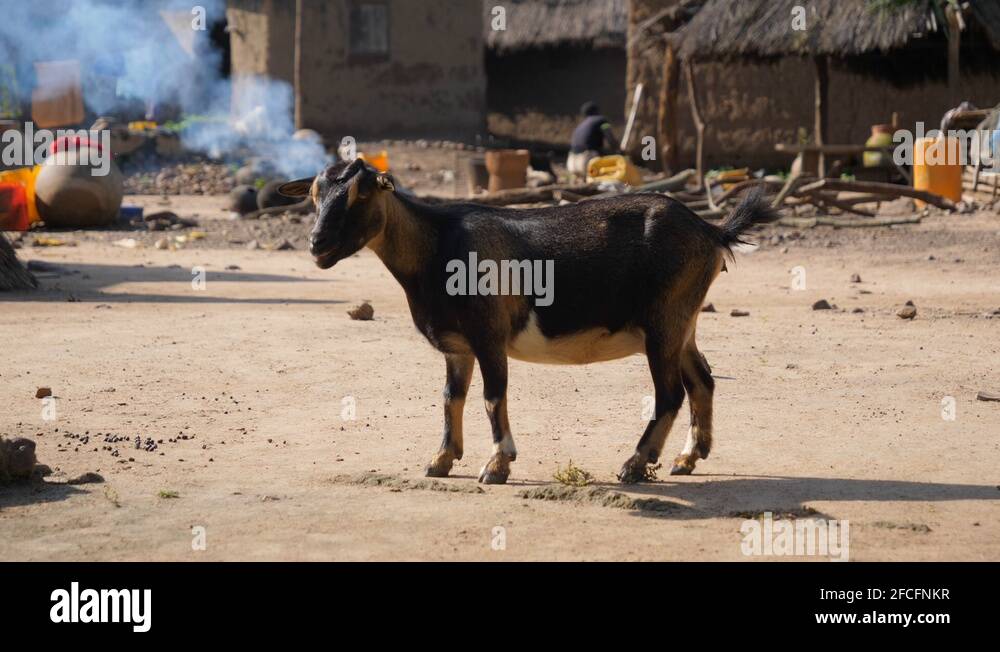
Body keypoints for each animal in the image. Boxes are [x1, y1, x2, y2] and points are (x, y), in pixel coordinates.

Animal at [279, 160, 775, 484]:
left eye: (362, 192)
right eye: (314, 196)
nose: (317, 244)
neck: (436, 246)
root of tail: (712, 231)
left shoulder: (489, 336)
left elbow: (491, 398)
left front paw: (497, 464)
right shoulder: (457, 347)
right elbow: (451, 398)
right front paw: (441, 460)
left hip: (664, 323)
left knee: (670, 393)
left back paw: (635, 464)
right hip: (681, 324)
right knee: (702, 380)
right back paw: (688, 458)